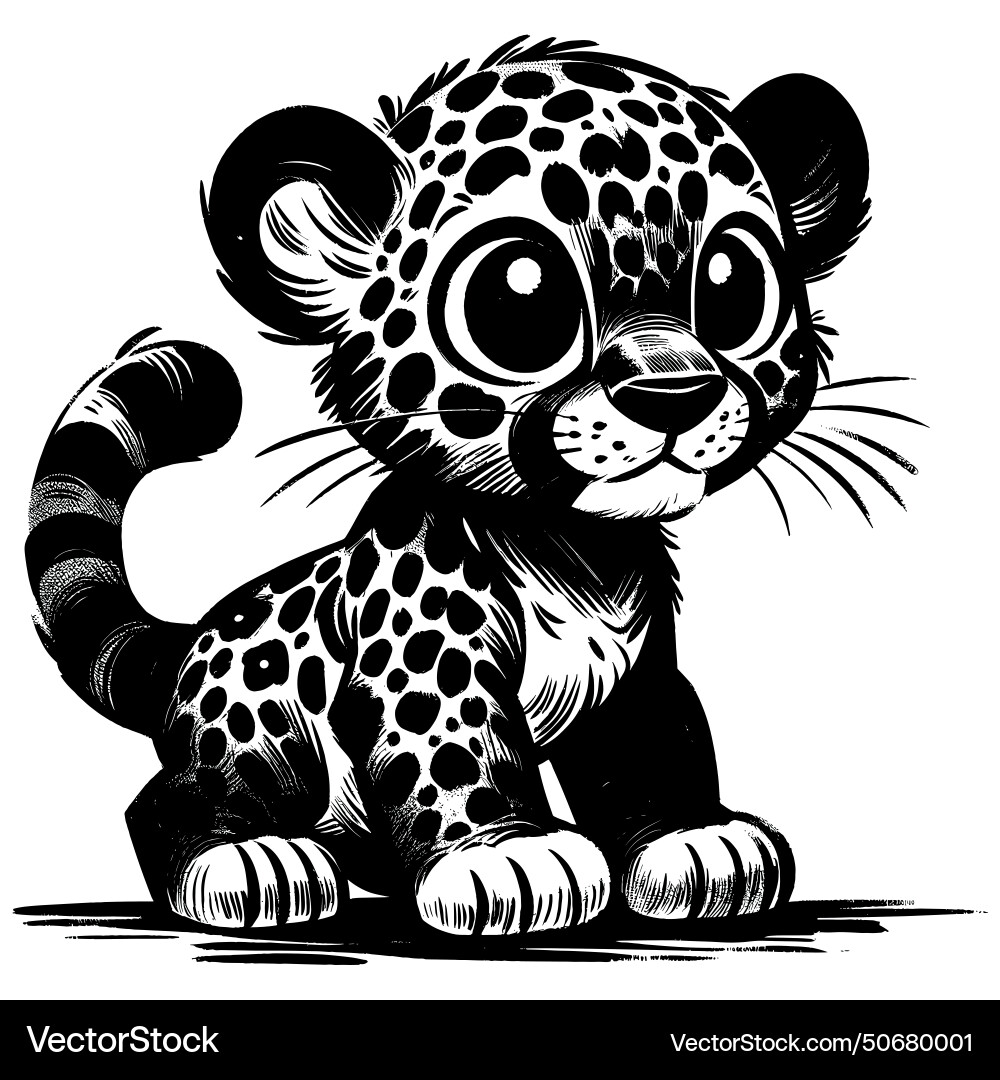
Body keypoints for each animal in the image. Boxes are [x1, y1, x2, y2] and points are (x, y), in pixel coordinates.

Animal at [26, 37, 876, 935]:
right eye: (517, 296)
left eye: (732, 283)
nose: (673, 393)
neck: (577, 554)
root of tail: (191, 642)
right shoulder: (424, 656)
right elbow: (449, 746)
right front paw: (507, 857)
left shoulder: (639, 679)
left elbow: (656, 747)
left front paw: (697, 840)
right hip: (257, 735)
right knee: (169, 797)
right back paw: (252, 861)